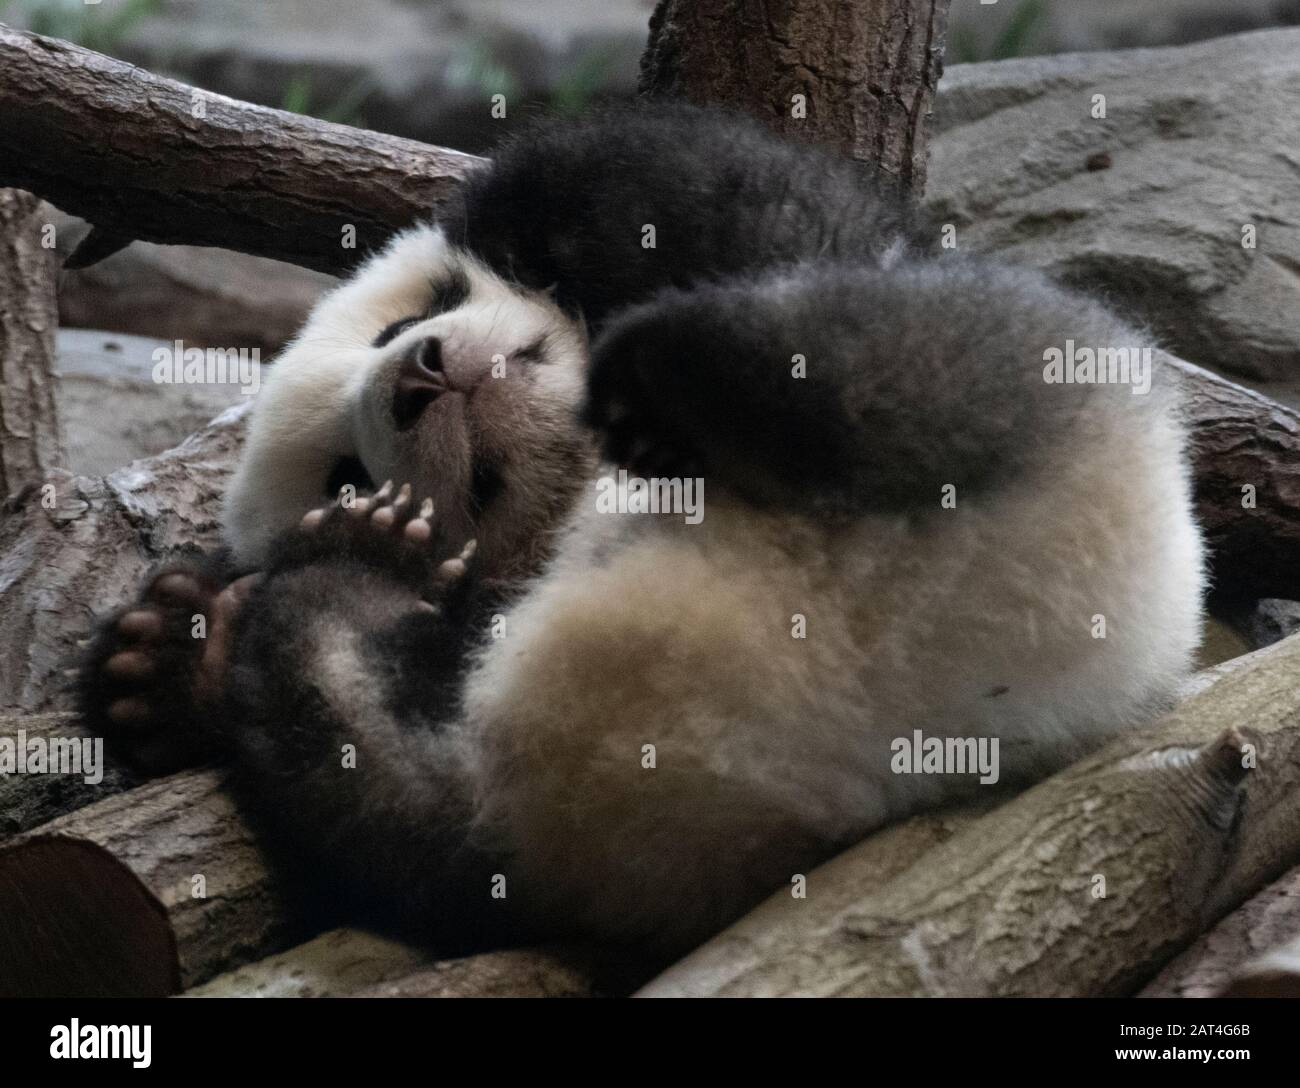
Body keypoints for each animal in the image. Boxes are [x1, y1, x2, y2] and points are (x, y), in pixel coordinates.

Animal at [82, 104, 1205, 961]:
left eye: (407, 318)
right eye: (342, 471)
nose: (419, 378)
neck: (583, 479)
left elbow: (699, 192)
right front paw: (164, 643)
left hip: (1039, 407)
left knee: (860, 357)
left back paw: (655, 376)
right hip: (525, 800)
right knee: (363, 748)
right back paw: (309, 592)